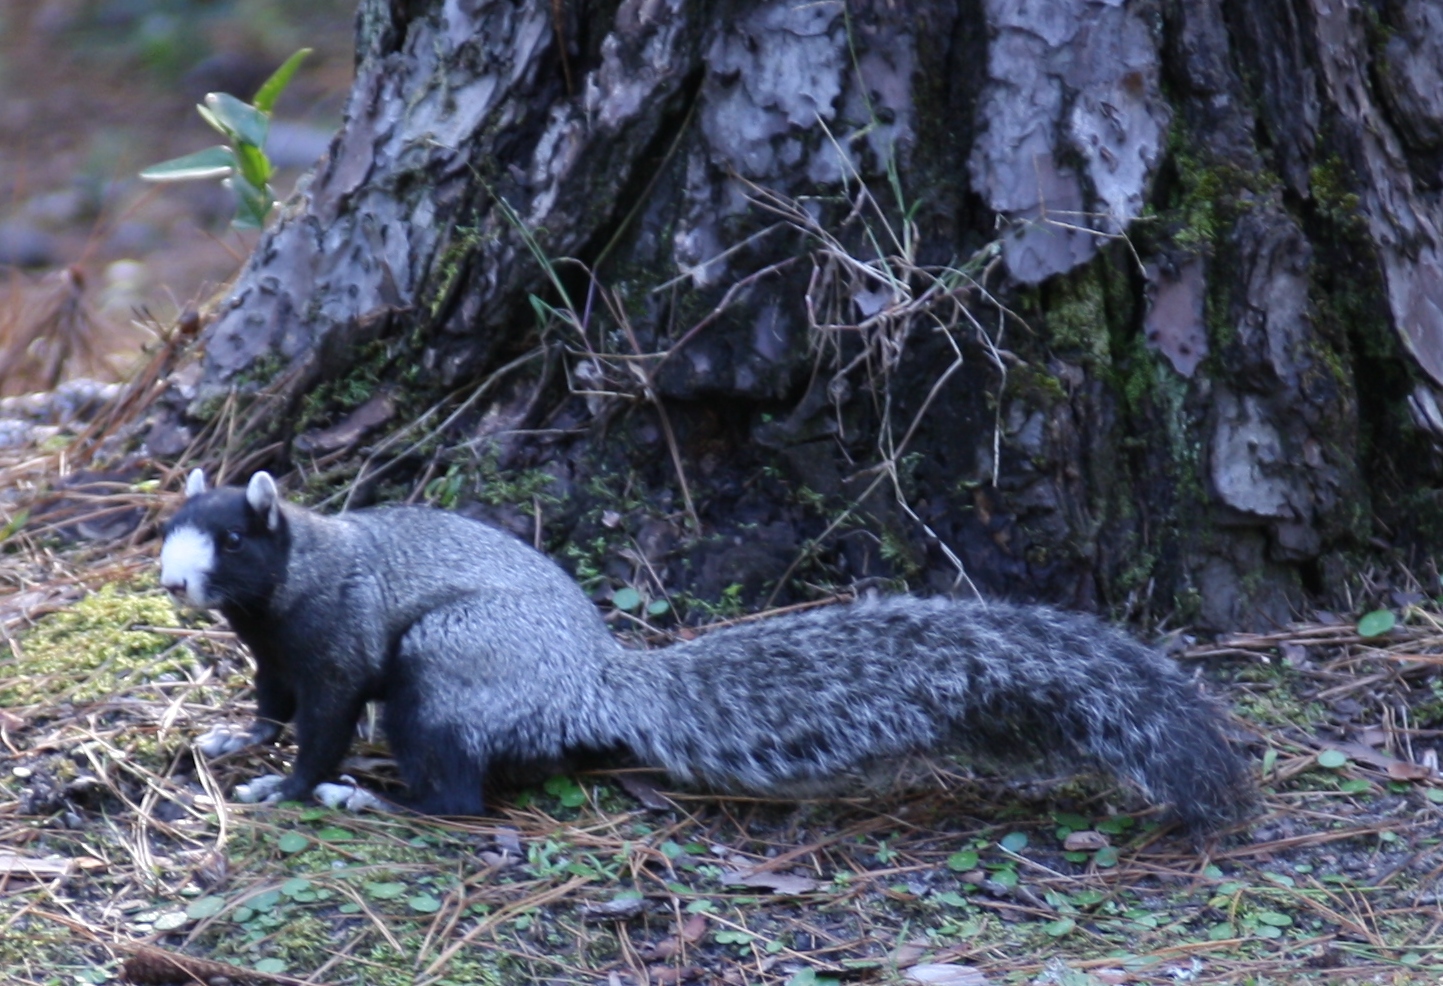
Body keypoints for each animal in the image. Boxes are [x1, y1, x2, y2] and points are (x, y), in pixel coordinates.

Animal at [159, 469, 1253, 834]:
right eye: (170, 524)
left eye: (235, 537)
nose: (172, 581)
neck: (291, 583)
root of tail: (596, 684)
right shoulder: (272, 647)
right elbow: (272, 700)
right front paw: (234, 737)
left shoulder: (340, 643)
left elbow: (325, 721)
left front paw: (293, 786)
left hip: (449, 663)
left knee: (460, 793)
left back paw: (379, 799)